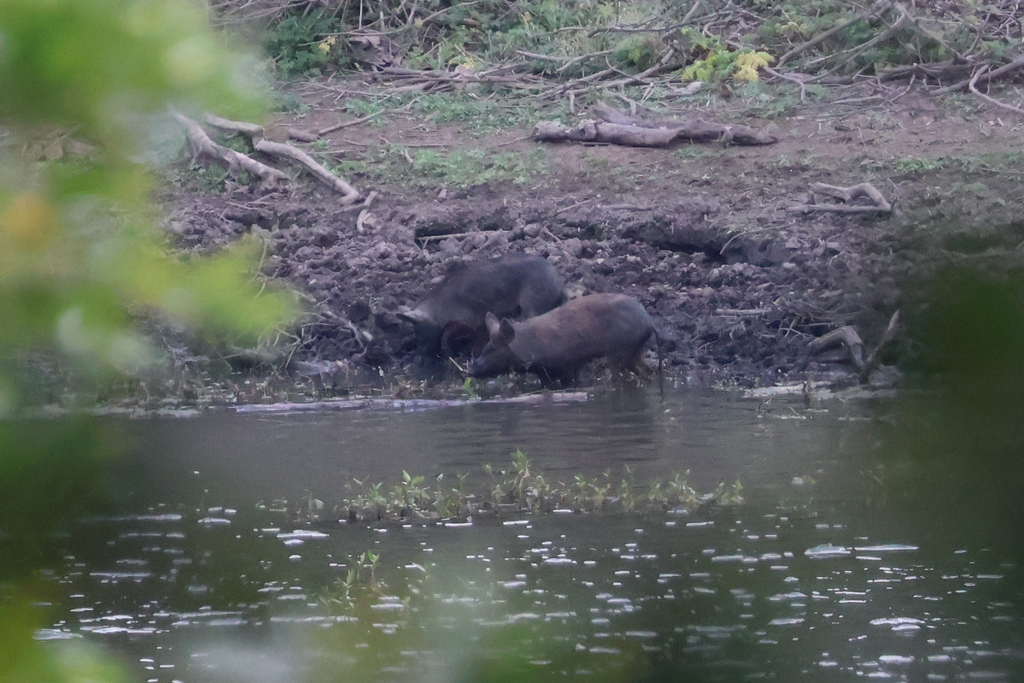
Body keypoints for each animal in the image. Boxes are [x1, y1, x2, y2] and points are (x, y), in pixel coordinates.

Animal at [399, 254, 567, 358]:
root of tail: (558, 284)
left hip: (532, 300)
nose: (420, 353)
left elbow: (447, 334)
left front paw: (450, 353)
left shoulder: (467, 319)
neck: (437, 307)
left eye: (418, 328)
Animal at [468, 293, 661, 385]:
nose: (470, 370)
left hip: (620, 350)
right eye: (486, 346)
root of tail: (649, 322)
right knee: (648, 371)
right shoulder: (545, 373)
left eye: (493, 348)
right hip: (635, 351)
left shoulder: (568, 365)